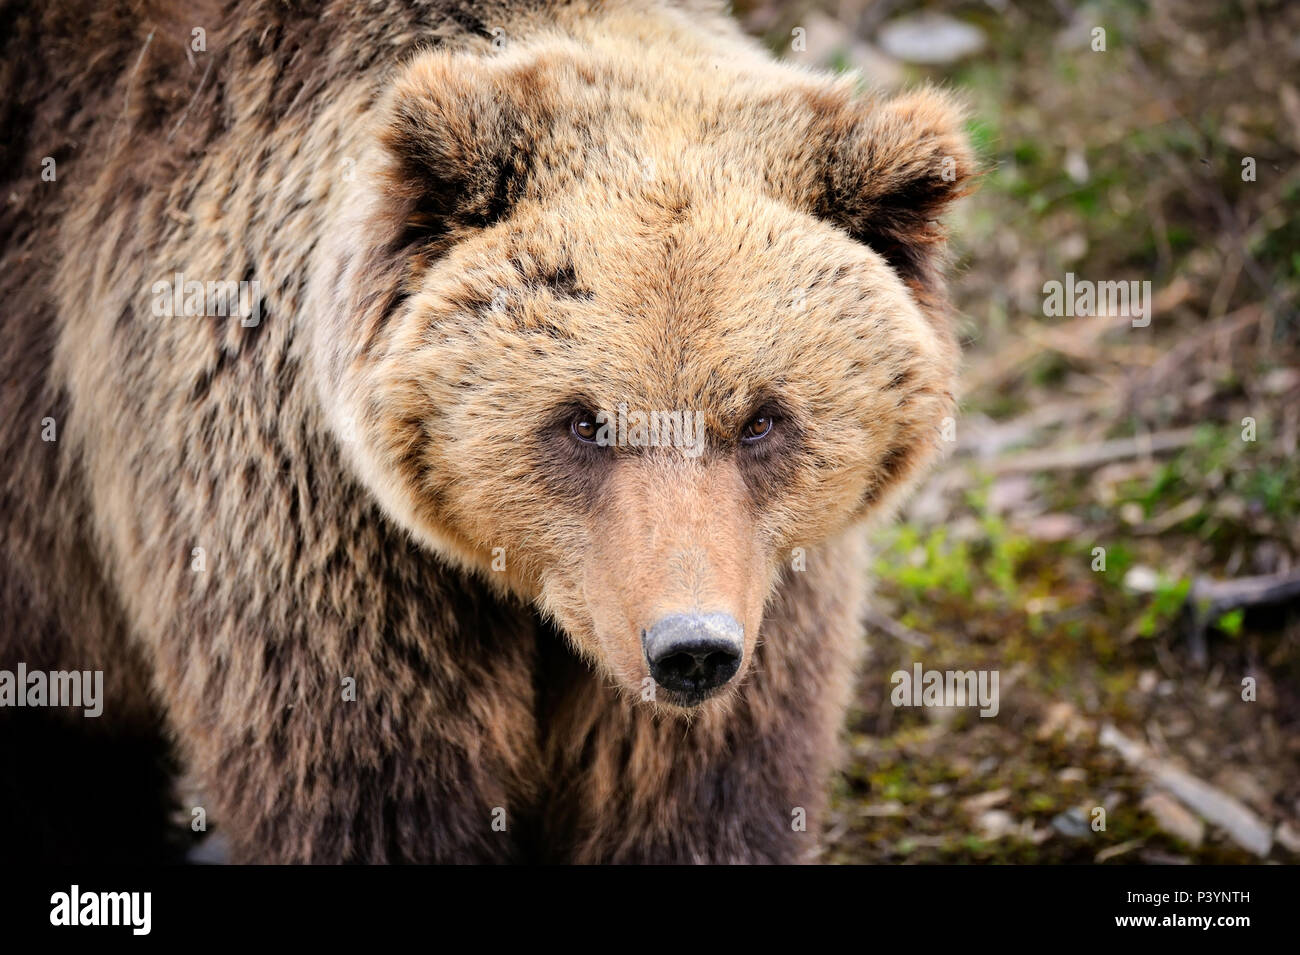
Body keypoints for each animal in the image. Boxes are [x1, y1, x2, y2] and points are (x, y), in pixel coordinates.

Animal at [0, 0, 971, 863]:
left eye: (762, 418)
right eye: (583, 420)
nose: (690, 648)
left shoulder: (770, 577)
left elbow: (691, 793)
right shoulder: (314, 525)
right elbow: (374, 787)